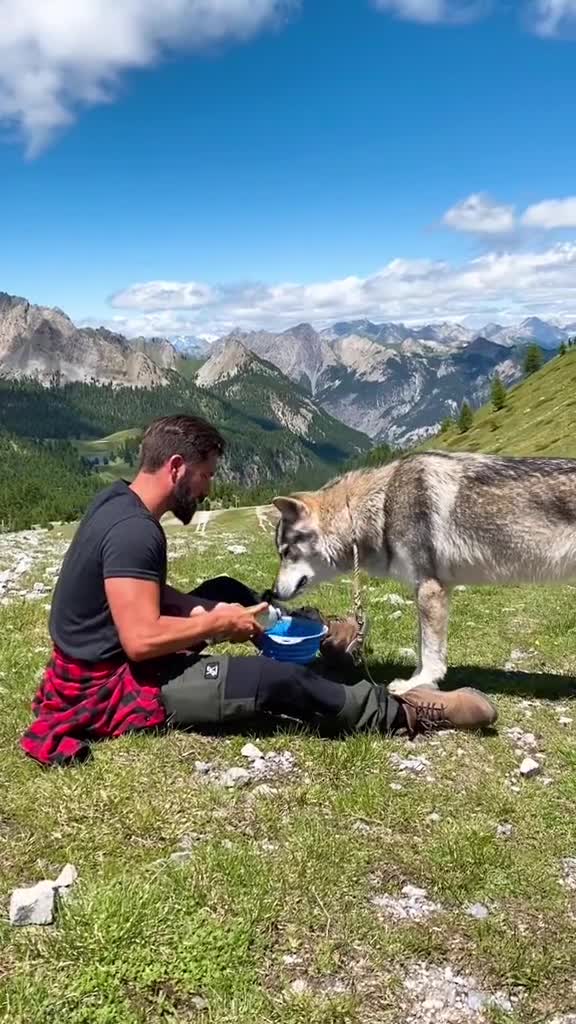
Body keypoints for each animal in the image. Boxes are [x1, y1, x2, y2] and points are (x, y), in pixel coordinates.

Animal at [271, 452, 576, 695]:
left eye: (285, 552)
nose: (272, 592)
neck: (383, 505)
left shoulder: (430, 589)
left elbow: (430, 651)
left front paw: (418, 683)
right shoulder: (425, 589)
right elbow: (423, 647)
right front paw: (418, 678)